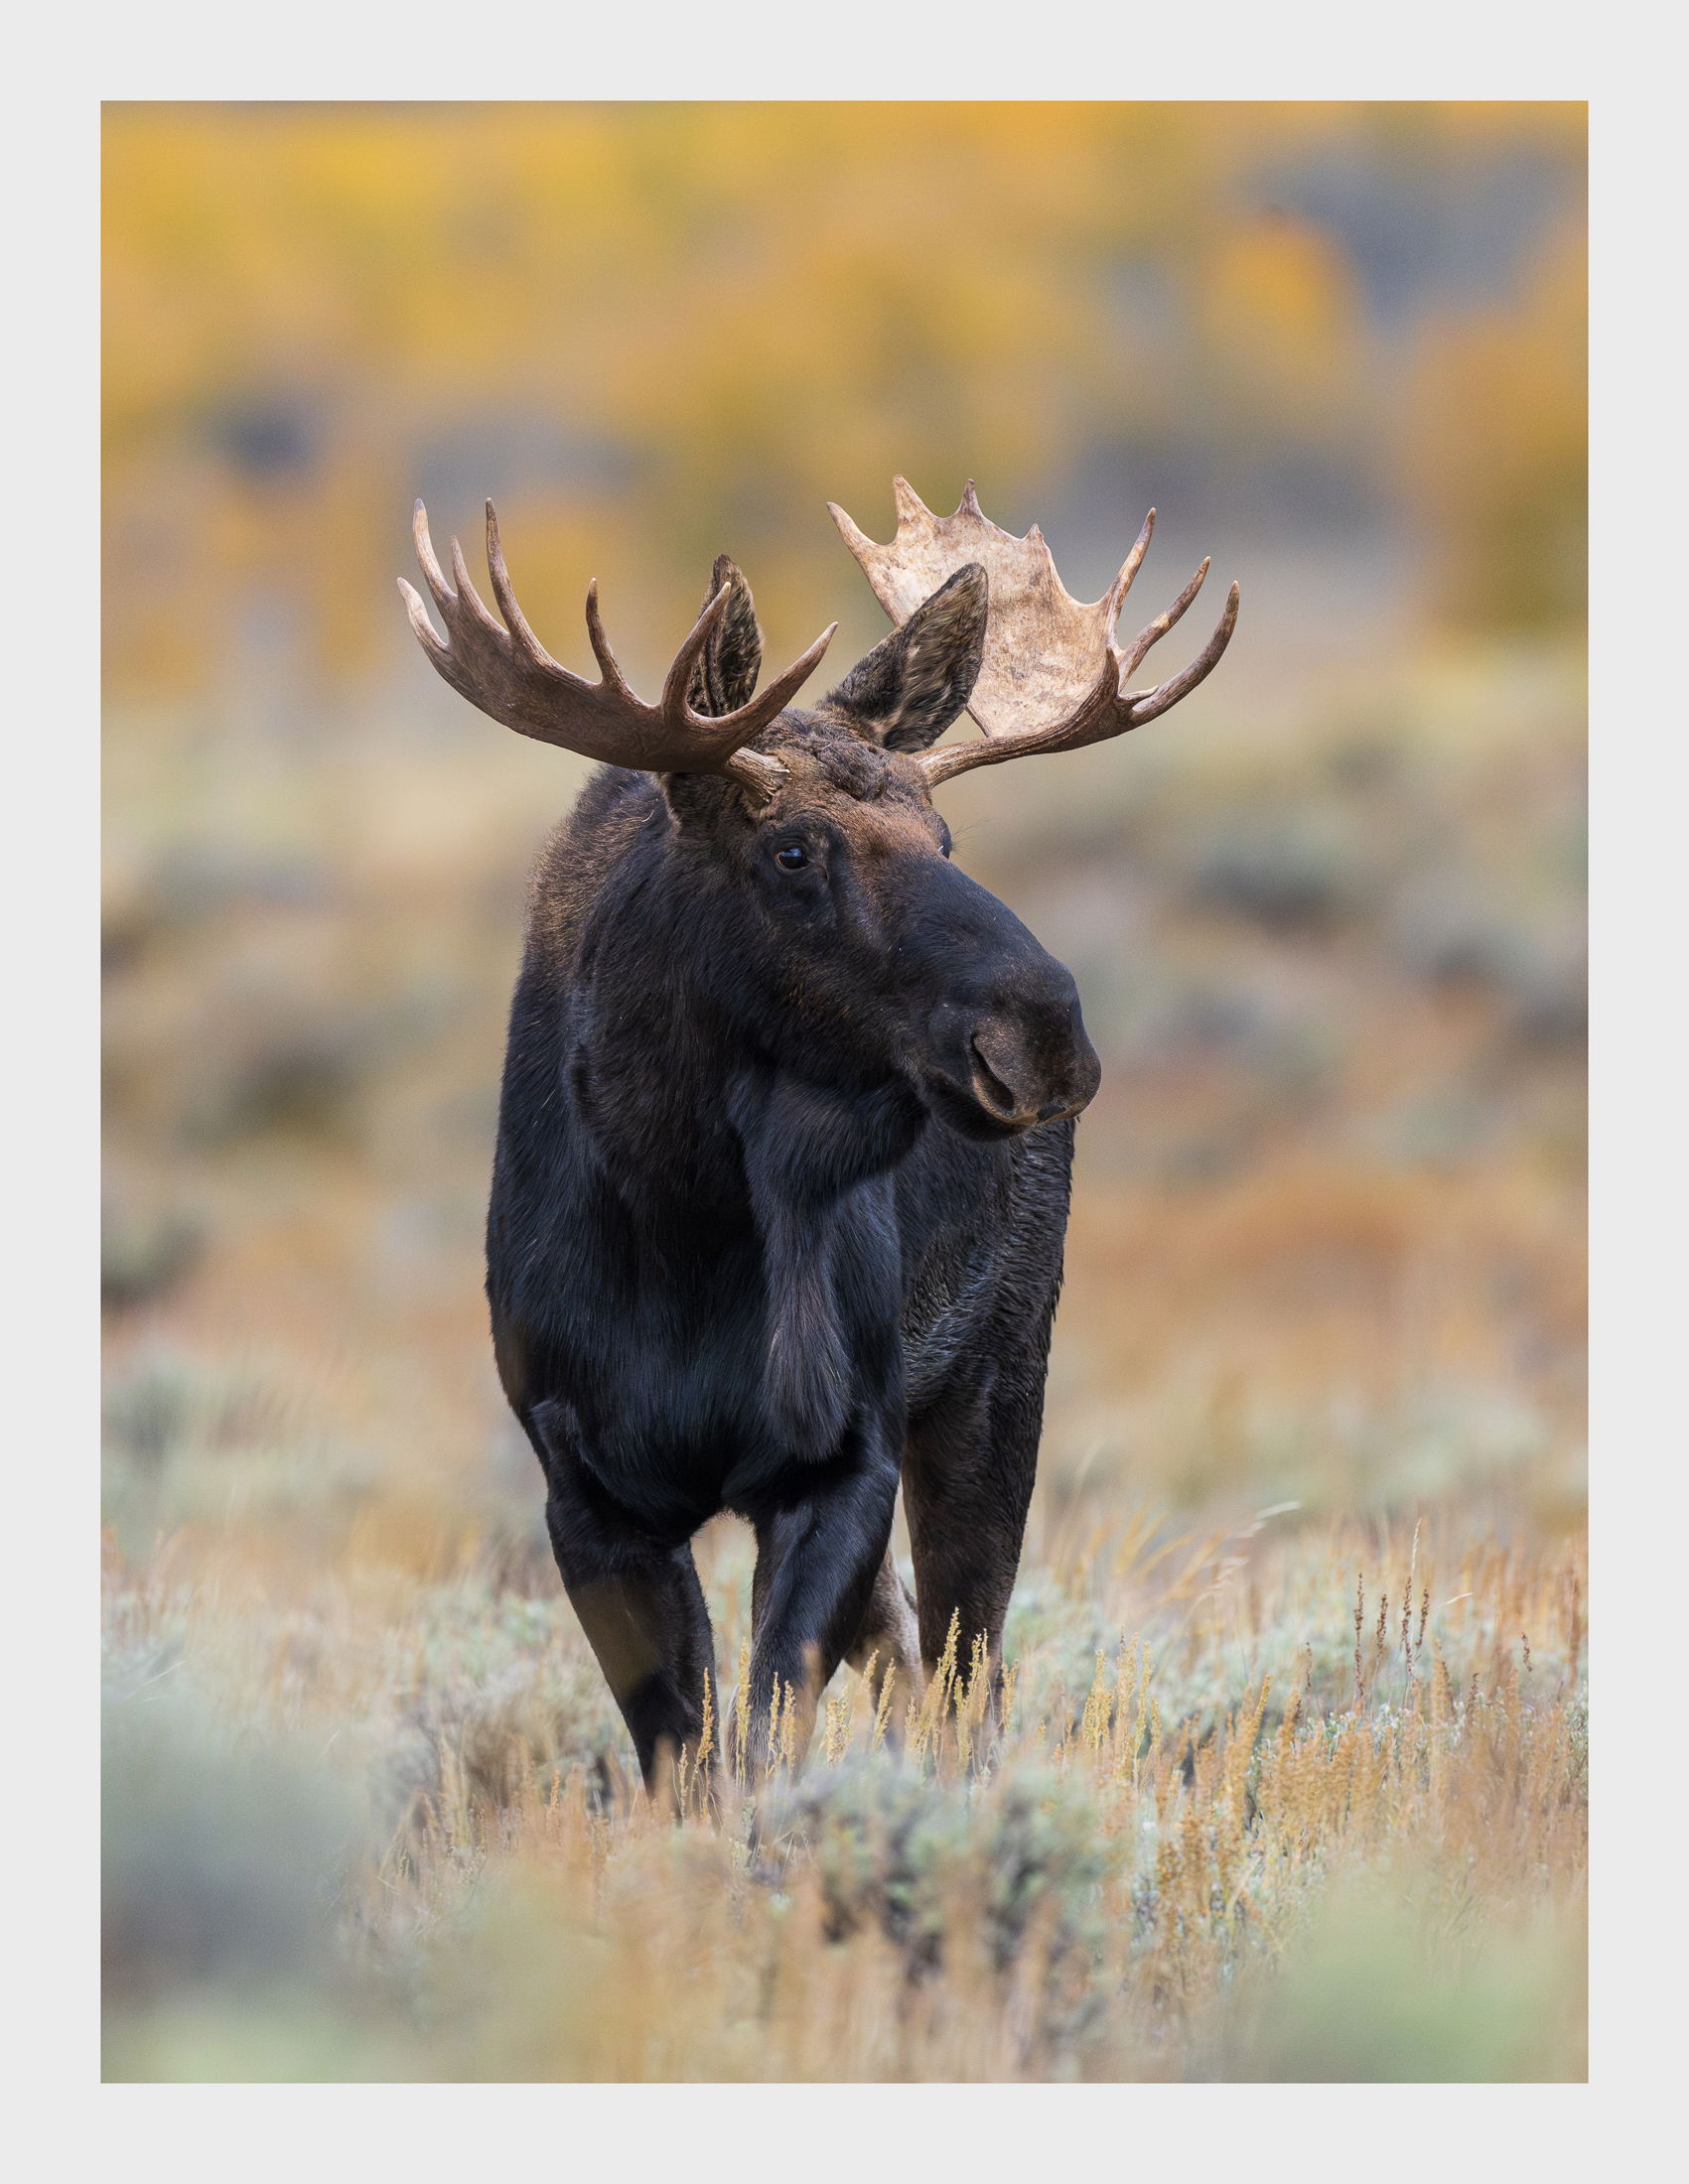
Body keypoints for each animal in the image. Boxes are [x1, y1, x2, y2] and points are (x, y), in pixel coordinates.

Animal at [400, 476, 1238, 1795]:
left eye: (948, 840)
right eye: (791, 848)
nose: (1046, 1033)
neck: (681, 1227)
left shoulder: (844, 1455)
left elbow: (772, 1729)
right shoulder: (586, 1491)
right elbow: (688, 1759)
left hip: (998, 1372)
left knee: (966, 1671)